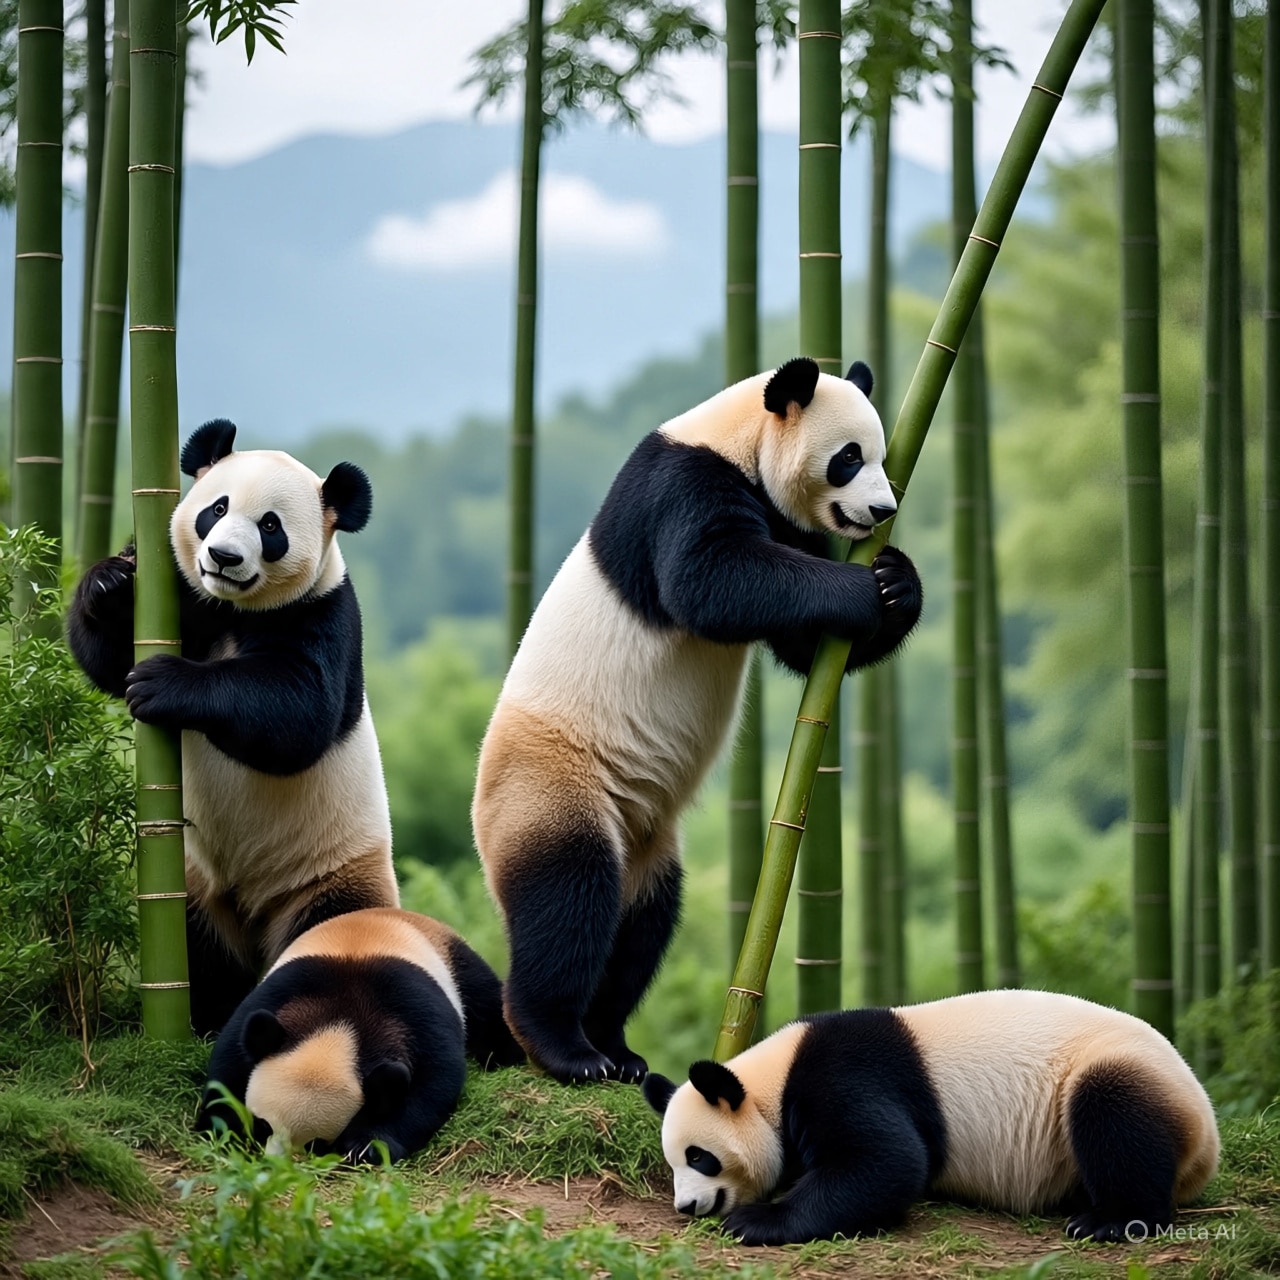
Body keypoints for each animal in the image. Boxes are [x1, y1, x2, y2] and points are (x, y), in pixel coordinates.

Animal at [67, 419, 398, 1035]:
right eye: (215, 509)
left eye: (270, 526)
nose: (222, 557)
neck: (232, 607)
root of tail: (254, 917)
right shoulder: (183, 598)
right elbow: (106, 661)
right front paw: (110, 584)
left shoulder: (325, 615)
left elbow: (297, 715)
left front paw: (160, 684)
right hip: (194, 886)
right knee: (198, 950)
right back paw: (207, 1019)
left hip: (329, 874)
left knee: (330, 937)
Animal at [197, 908, 526, 1163]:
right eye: (263, 1125)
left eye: (315, 1144)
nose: (275, 1164)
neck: (338, 1028)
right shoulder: (288, 988)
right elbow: (233, 1055)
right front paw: (222, 1127)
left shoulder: (413, 1009)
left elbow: (432, 1082)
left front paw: (366, 1146)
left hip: (457, 964)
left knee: (489, 1008)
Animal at [473, 358, 922, 1086]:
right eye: (850, 458)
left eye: (883, 456)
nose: (882, 512)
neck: (736, 437)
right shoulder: (684, 488)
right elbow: (709, 578)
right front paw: (860, 587)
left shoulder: (783, 522)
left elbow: (807, 644)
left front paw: (895, 580)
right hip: (550, 782)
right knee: (568, 897)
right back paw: (565, 1048)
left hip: (648, 841)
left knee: (643, 923)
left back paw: (620, 1050)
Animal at [642, 989, 1220, 1246]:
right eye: (673, 1164)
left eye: (701, 1157)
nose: (687, 1206)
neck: (771, 1080)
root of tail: (1207, 1136)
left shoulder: (845, 1074)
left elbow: (885, 1160)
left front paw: (755, 1221)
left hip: (1115, 1072)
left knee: (1115, 1116)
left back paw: (1109, 1220)